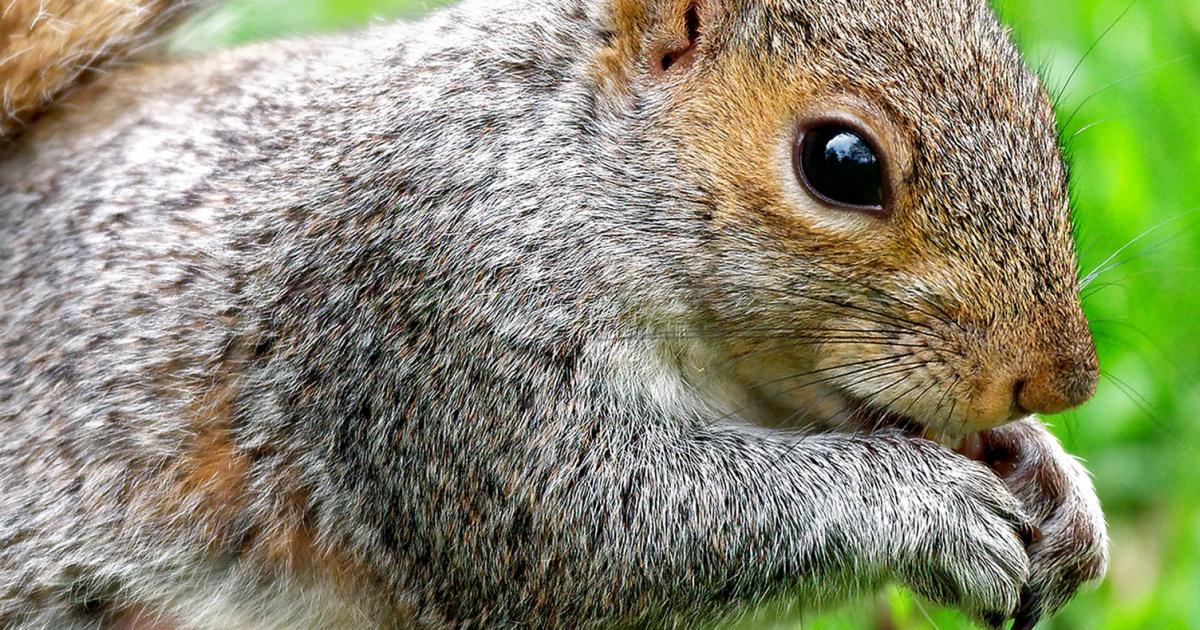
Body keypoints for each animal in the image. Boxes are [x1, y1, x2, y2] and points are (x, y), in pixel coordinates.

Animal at [0, 0, 1108, 628]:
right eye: (841, 163)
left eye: (1041, 117)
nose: (1062, 379)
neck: (563, 155)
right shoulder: (423, 317)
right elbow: (597, 523)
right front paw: (934, 511)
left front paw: (1053, 481)